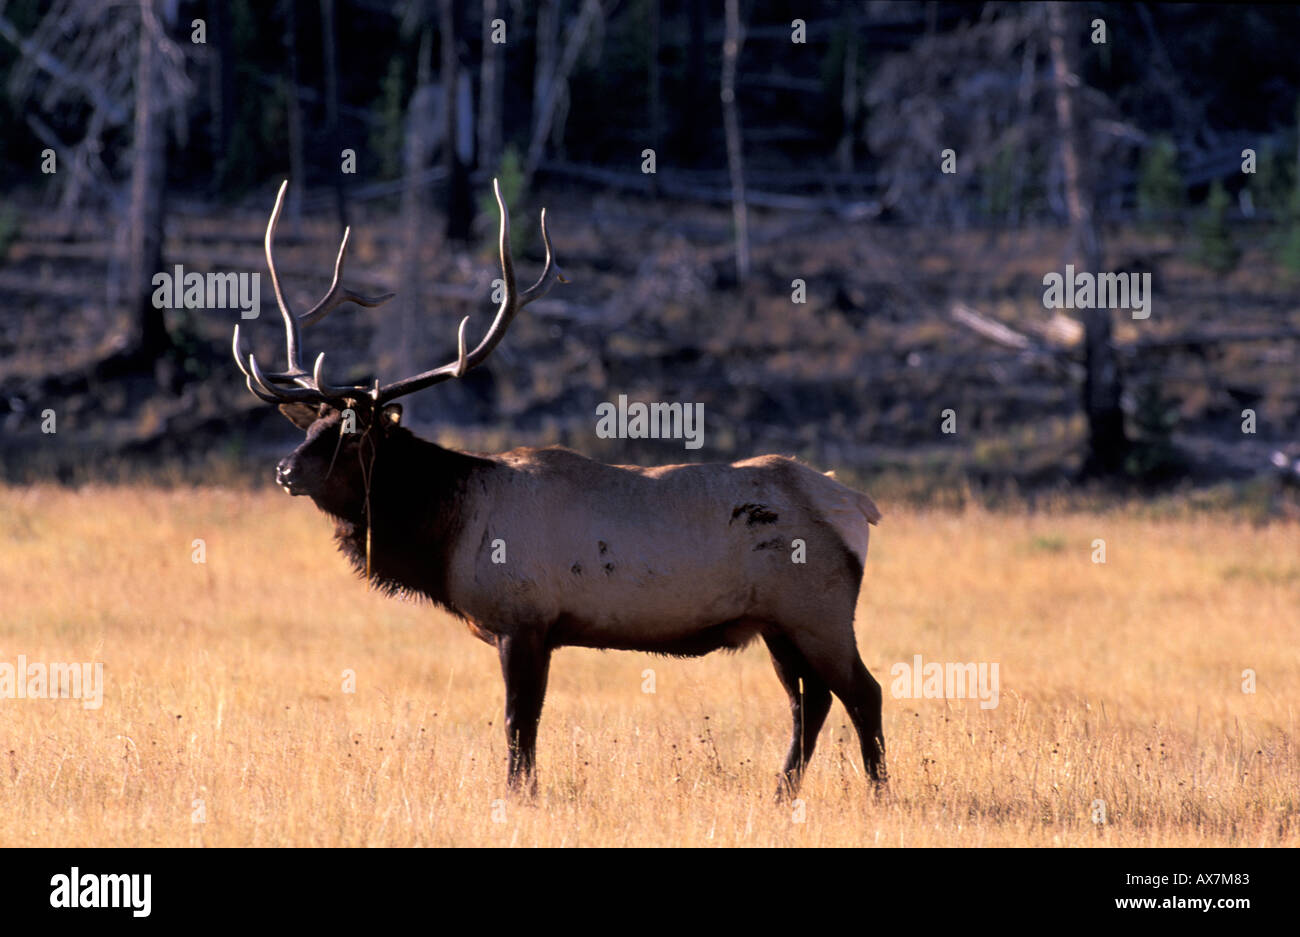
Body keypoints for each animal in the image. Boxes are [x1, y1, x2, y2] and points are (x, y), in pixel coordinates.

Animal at [232, 179, 886, 798]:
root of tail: (859, 507)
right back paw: (781, 793)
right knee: (810, 702)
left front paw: (518, 796)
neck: (448, 530)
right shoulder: (537, 630)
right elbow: (527, 725)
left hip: (818, 611)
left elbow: (518, 724)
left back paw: (881, 795)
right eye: (310, 426)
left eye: (350, 436)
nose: (285, 471)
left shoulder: (524, 619)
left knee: (863, 692)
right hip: (777, 623)